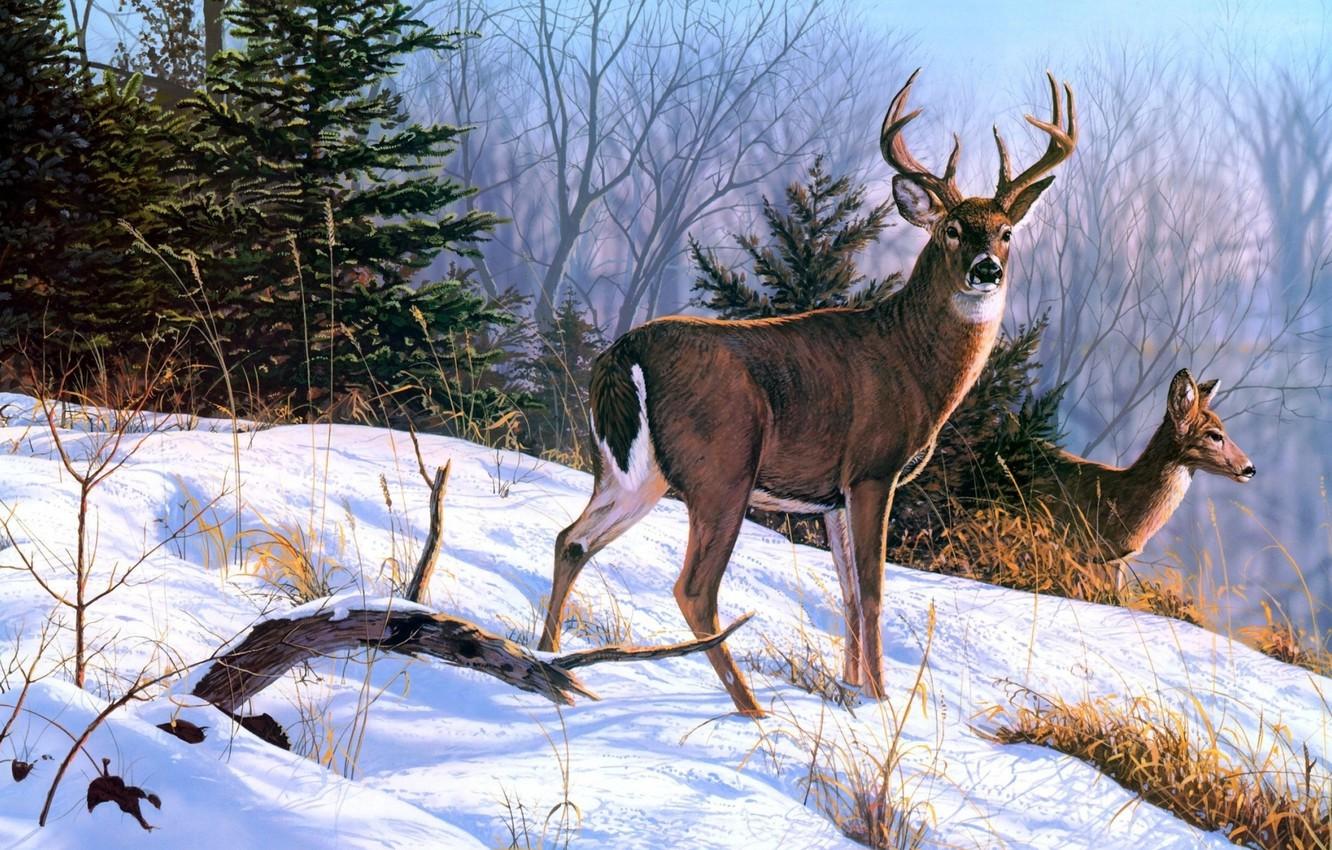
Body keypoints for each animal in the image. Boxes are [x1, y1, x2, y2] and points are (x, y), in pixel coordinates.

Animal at [536, 70, 1078, 717]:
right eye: (951, 229)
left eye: (1006, 232)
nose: (987, 270)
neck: (914, 363)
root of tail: (624, 352)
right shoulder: (872, 469)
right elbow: (872, 591)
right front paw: (880, 702)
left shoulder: (832, 498)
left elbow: (846, 593)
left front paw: (854, 691)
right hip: (722, 468)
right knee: (693, 589)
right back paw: (750, 708)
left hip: (633, 472)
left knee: (571, 539)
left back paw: (550, 661)